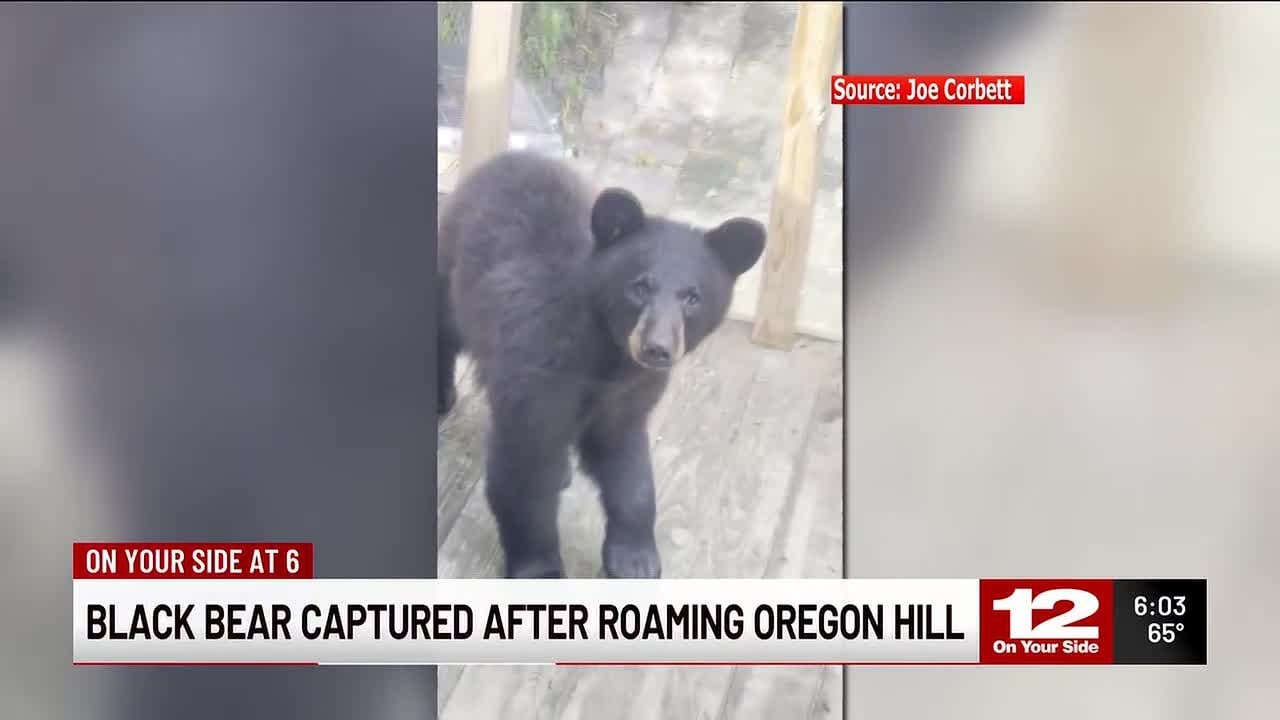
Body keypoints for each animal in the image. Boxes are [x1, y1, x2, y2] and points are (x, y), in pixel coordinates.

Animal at [437, 150, 765, 579]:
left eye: (692, 297)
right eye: (639, 286)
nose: (657, 349)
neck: (608, 356)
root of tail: (507, 157)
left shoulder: (629, 395)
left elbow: (629, 466)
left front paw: (635, 558)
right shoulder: (538, 369)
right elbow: (525, 468)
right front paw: (539, 568)